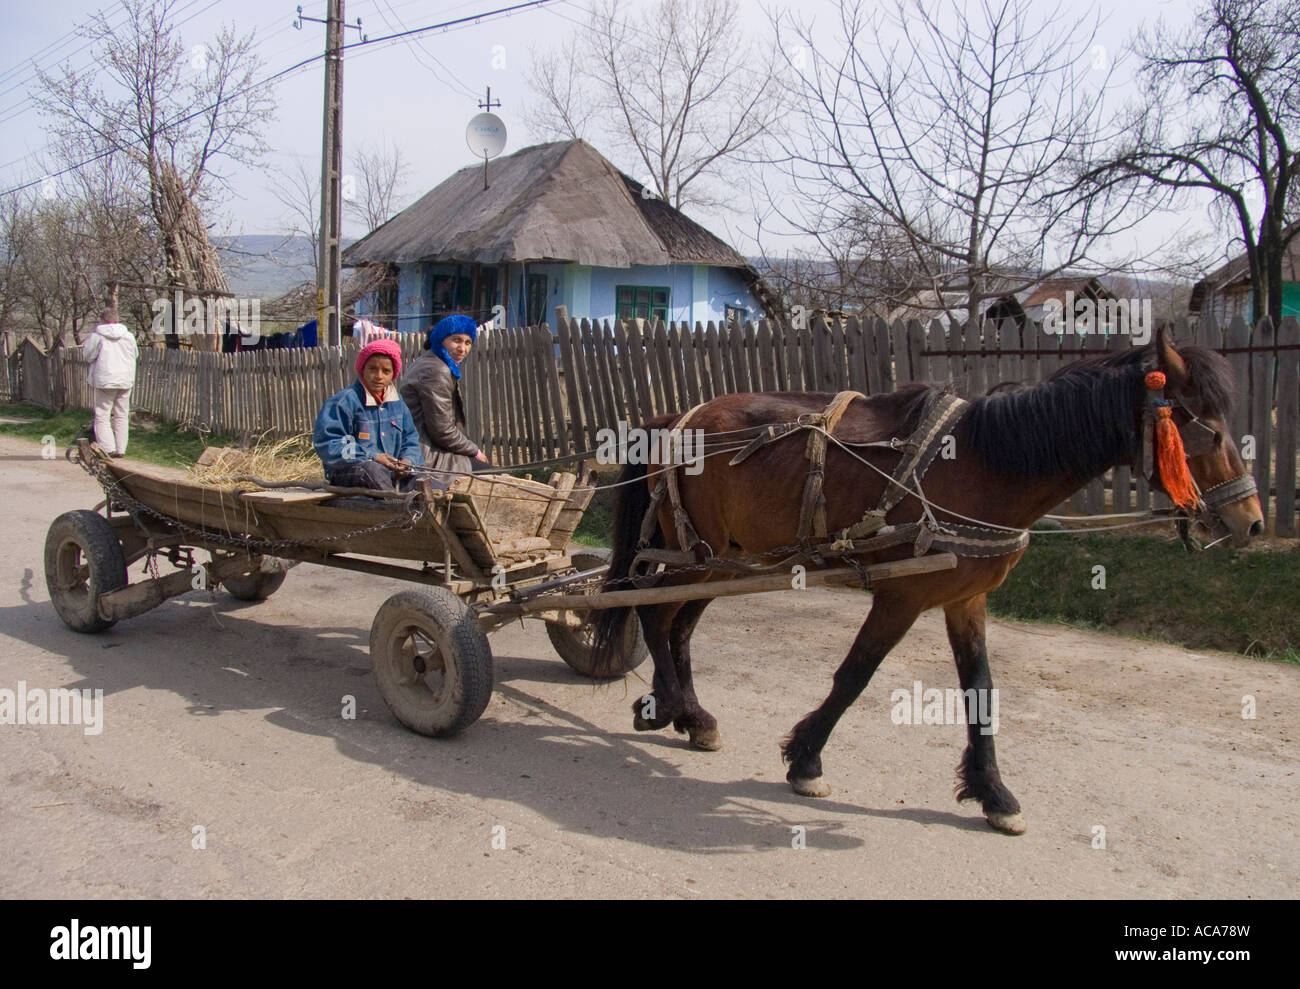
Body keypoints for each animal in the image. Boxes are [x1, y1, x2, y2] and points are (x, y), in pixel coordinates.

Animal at [590, 328, 1263, 834]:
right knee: (650, 609)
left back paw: (686, 715)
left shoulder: (967, 598)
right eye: (1203, 426)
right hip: (696, 552)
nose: (1250, 521)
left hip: (723, 558)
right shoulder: (903, 594)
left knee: (674, 625)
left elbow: (980, 690)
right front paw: (806, 759)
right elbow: (855, 674)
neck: (985, 464)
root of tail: (674, 416)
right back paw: (674, 707)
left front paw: (994, 794)